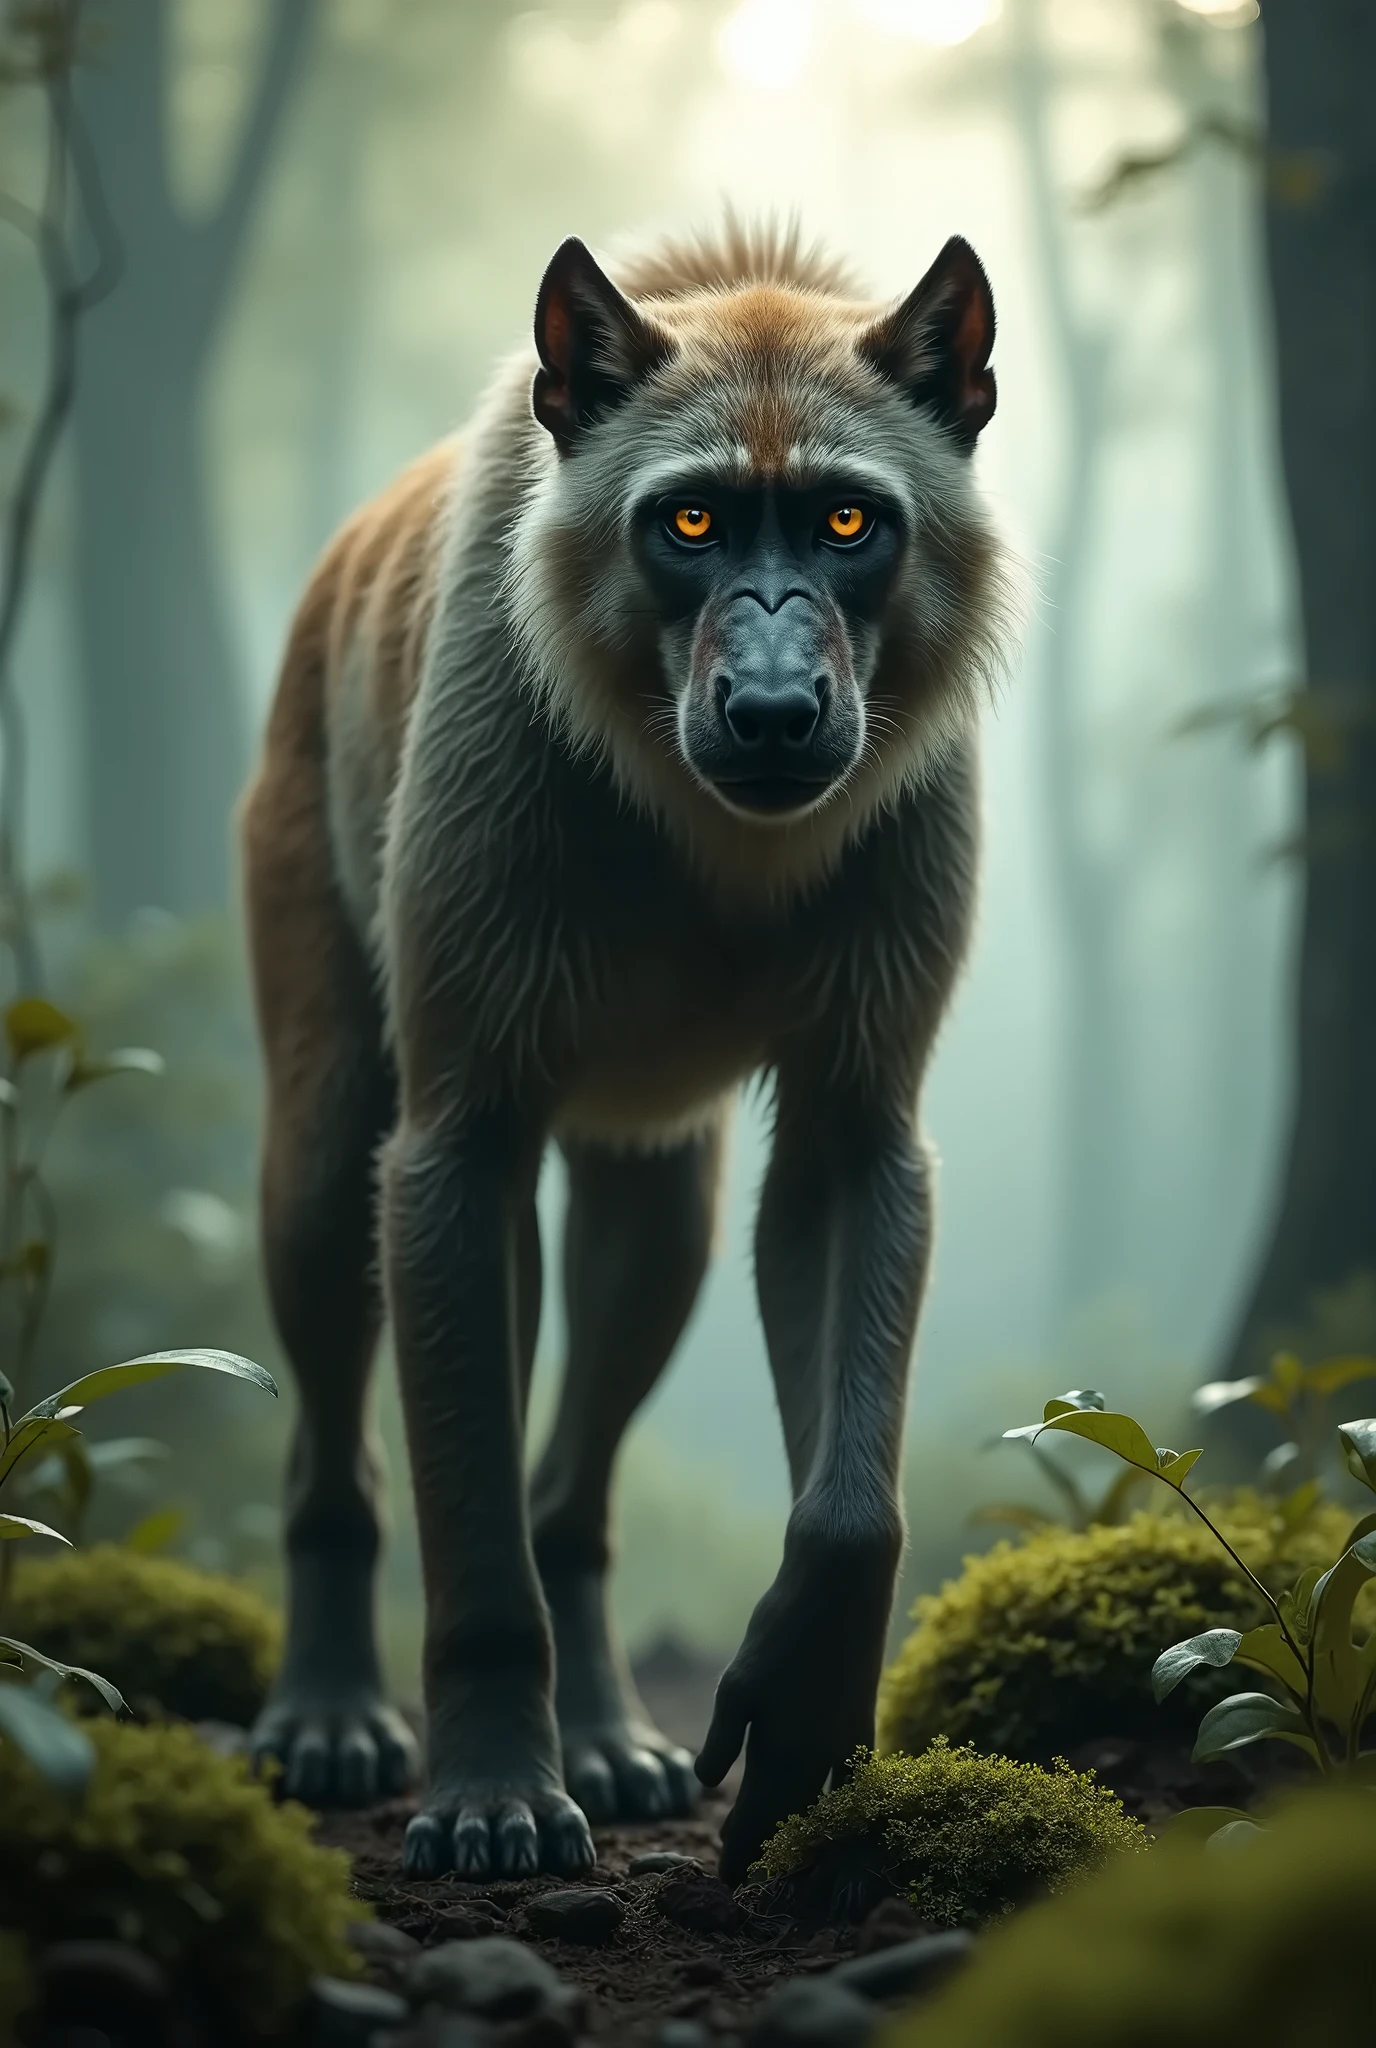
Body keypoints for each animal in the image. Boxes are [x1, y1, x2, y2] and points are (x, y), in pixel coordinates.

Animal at [239, 217, 1013, 1886]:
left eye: (847, 521)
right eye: (694, 520)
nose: (777, 711)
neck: (710, 841)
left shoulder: (855, 1127)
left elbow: (848, 1512)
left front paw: (805, 1741)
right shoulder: (457, 1144)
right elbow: (471, 1556)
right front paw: (492, 1801)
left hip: (653, 1204)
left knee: (571, 1494)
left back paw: (605, 1740)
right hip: (331, 1169)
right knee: (340, 1466)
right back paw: (329, 1721)